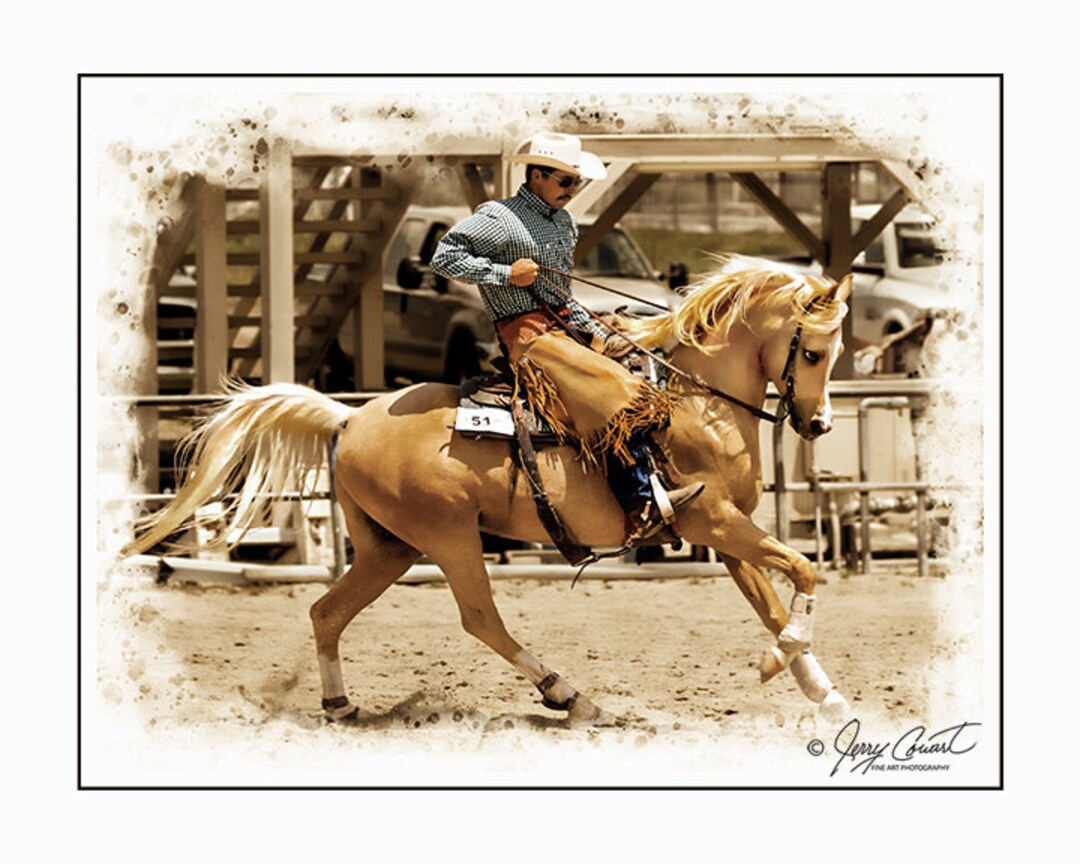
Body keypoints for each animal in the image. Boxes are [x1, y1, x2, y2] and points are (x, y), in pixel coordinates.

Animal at [123, 258, 854, 725]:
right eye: (813, 352)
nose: (819, 424)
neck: (696, 403)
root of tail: (350, 417)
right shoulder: (715, 522)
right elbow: (805, 568)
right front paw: (783, 664)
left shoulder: (729, 538)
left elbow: (775, 603)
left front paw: (822, 691)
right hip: (448, 537)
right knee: (481, 619)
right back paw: (573, 698)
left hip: (388, 547)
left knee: (327, 612)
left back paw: (340, 704)